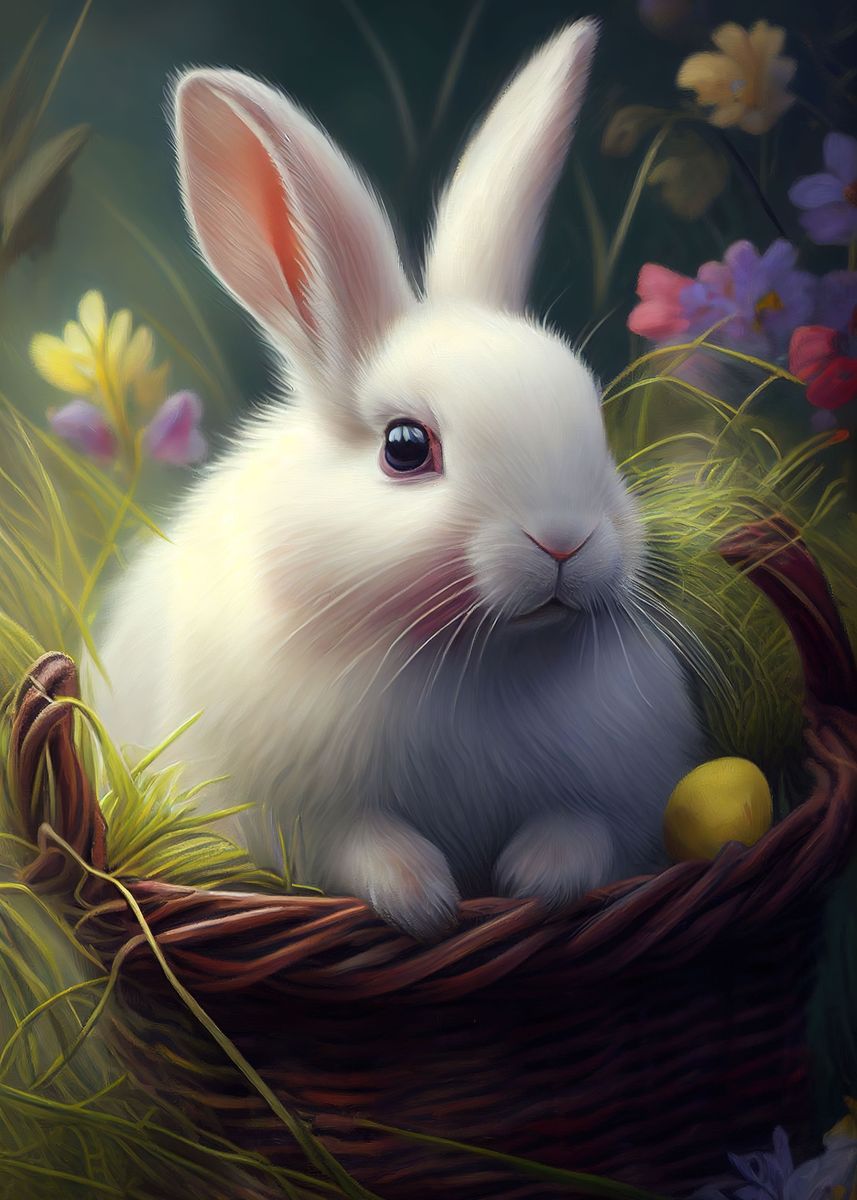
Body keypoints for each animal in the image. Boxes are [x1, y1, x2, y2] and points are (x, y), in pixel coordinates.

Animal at [89, 18, 704, 940]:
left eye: (592, 418)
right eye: (406, 447)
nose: (564, 539)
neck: (474, 655)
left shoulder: (619, 797)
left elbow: (582, 829)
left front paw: (535, 878)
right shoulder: (297, 812)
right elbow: (362, 845)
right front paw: (426, 901)